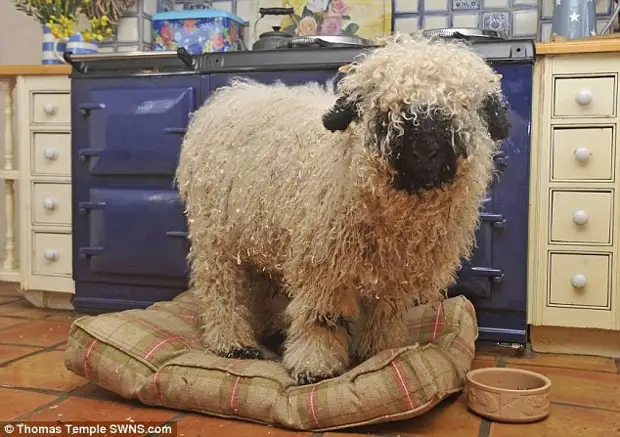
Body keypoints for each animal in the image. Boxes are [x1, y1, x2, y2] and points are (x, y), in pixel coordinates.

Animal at [174, 32, 508, 384]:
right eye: (387, 111)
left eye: (459, 107)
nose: (425, 149)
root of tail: (229, 95)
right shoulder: (323, 264)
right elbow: (321, 316)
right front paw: (314, 364)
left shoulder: (396, 275)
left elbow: (385, 314)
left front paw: (381, 351)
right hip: (216, 237)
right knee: (220, 288)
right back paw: (232, 342)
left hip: (263, 233)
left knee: (263, 286)